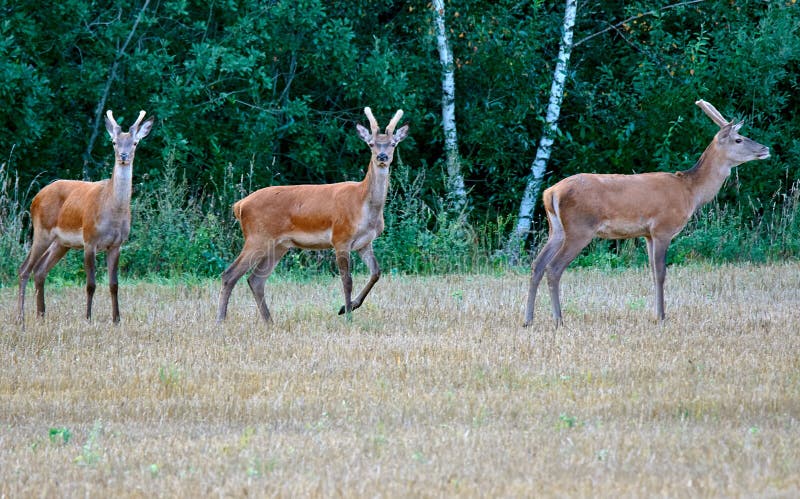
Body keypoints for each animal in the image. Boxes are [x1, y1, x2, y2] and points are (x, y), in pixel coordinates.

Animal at [17, 110, 154, 325]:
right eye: (114, 142)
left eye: (135, 143)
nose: (123, 156)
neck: (112, 210)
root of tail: (35, 198)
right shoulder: (90, 240)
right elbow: (91, 284)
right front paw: (88, 318)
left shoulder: (117, 244)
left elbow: (114, 284)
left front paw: (117, 319)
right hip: (41, 231)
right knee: (24, 269)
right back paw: (21, 319)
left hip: (61, 242)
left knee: (39, 270)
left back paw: (41, 315)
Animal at [216, 107, 409, 323]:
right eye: (371, 144)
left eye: (393, 143)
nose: (382, 157)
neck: (364, 205)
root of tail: (239, 205)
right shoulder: (340, 237)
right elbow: (347, 280)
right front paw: (347, 315)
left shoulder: (364, 242)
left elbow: (376, 272)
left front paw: (347, 307)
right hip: (257, 236)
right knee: (230, 274)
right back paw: (221, 320)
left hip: (278, 245)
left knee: (255, 279)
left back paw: (269, 322)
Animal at [524, 100, 770, 327]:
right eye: (739, 139)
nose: (765, 149)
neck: (690, 192)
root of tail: (550, 192)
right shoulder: (663, 228)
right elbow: (661, 273)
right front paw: (661, 316)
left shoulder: (647, 234)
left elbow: (652, 272)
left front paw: (655, 313)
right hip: (579, 229)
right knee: (553, 268)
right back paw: (558, 319)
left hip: (556, 229)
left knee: (537, 265)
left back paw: (528, 319)